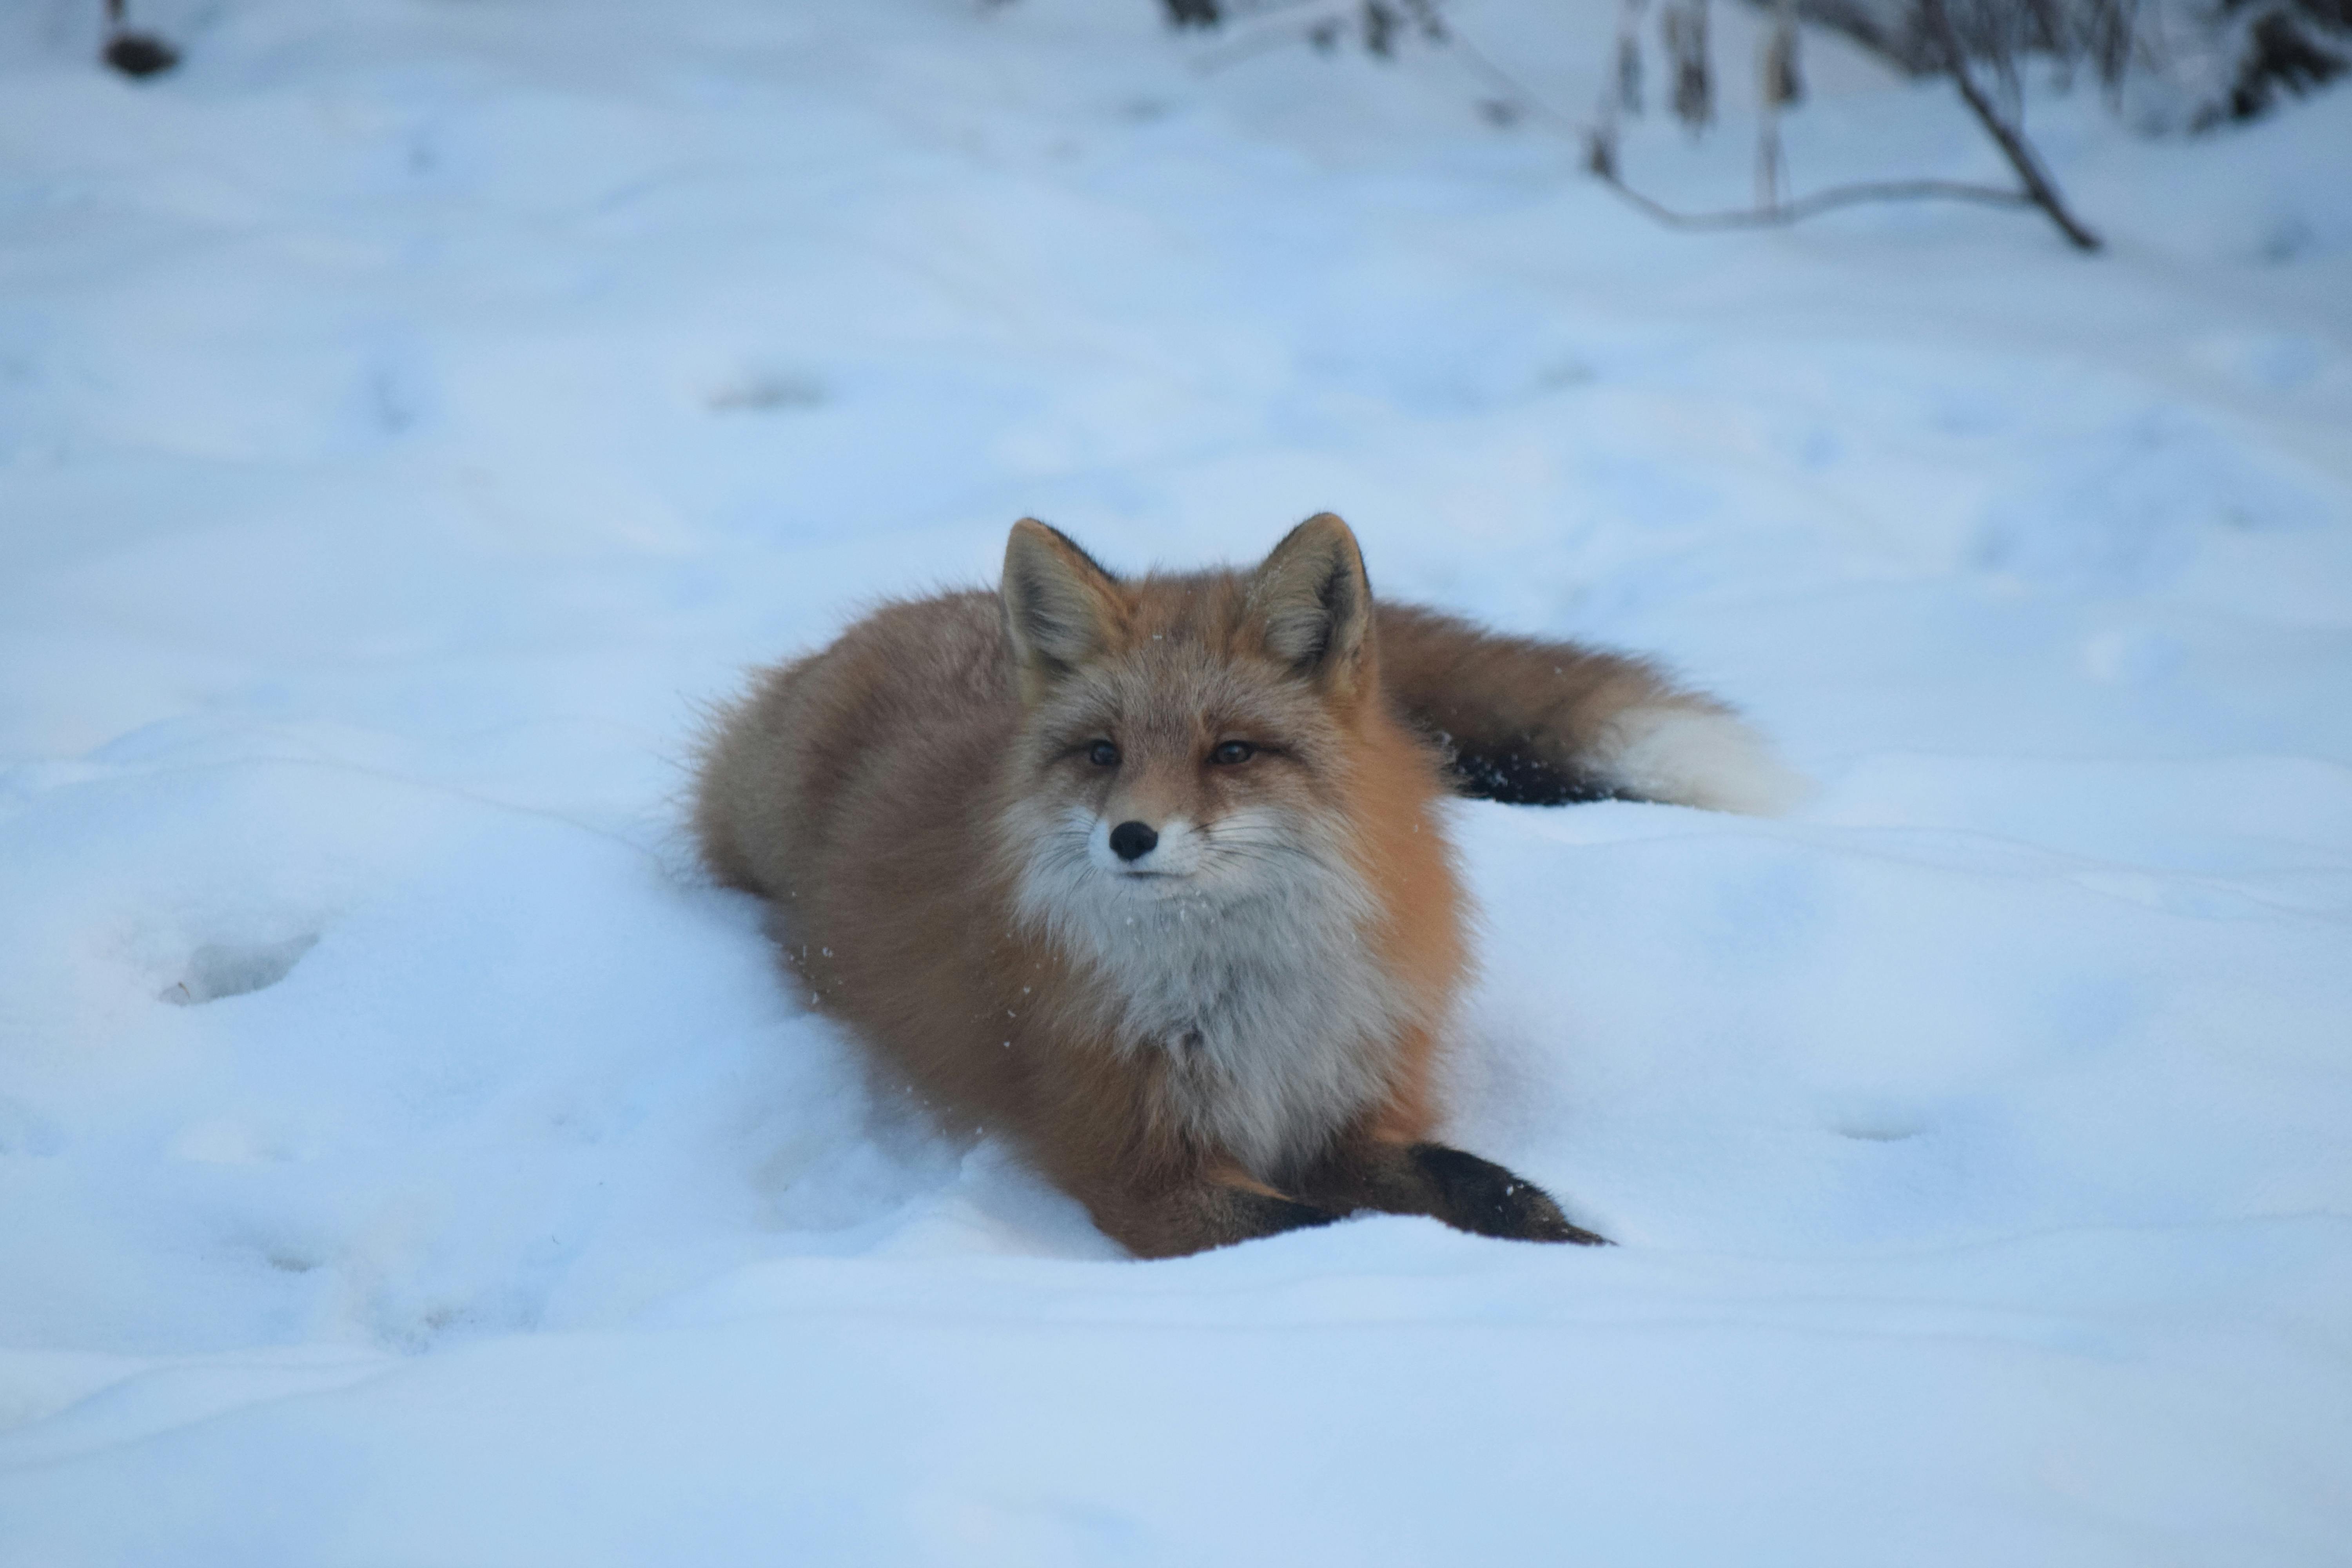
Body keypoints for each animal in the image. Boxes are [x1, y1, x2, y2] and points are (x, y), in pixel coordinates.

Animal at [694, 514, 1802, 1258]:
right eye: (1103, 753)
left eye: (1231, 751)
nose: (1131, 837)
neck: (1251, 1008)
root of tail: (901, 616)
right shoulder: (1144, 1170)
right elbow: (1322, 1226)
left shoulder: (1344, 1111)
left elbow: (1485, 1185)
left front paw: (1588, 1257)